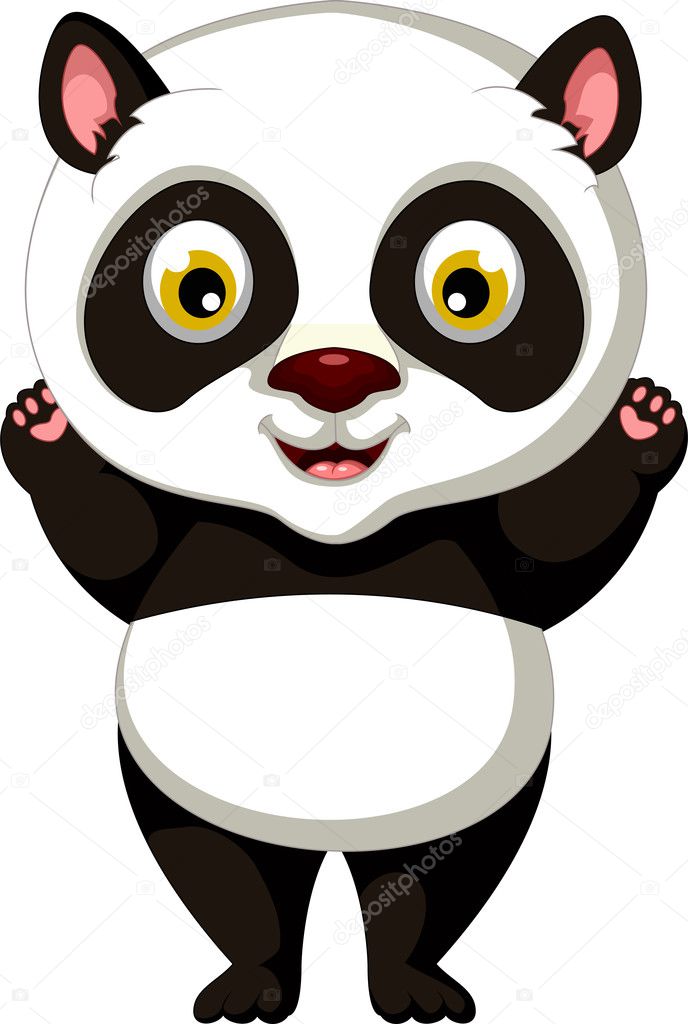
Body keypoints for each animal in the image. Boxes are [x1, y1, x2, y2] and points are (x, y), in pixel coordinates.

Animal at [2, 5, 685, 1022]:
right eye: (198, 291)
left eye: (468, 290)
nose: (333, 374)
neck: (329, 540)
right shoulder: (192, 542)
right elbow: (120, 556)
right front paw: (42, 424)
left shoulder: (472, 539)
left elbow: (550, 557)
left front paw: (642, 418)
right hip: (187, 790)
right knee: (228, 879)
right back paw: (252, 980)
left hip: (467, 800)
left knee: (432, 885)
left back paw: (411, 981)